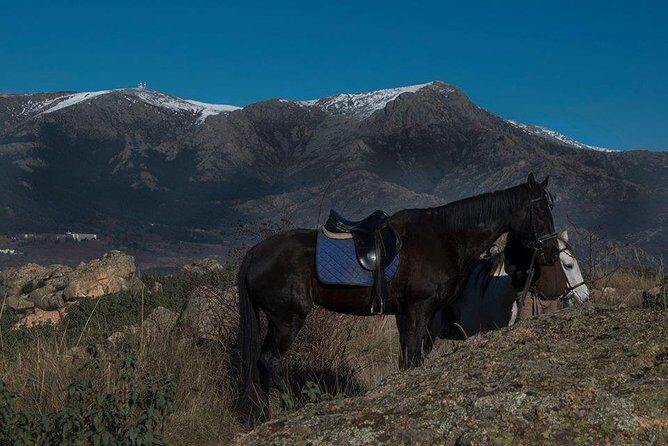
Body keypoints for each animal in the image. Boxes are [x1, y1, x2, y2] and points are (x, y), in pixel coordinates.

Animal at [237, 173, 559, 425]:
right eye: (541, 210)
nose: (552, 254)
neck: (445, 238)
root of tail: (255, 253)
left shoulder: (412, 315)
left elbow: (409, 360)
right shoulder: (419, 309)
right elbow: (414, 359)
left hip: (276, 321)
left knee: (261, 363)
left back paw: (264, 416)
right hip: (287, 319)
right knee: (270, 360)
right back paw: (295, 407)